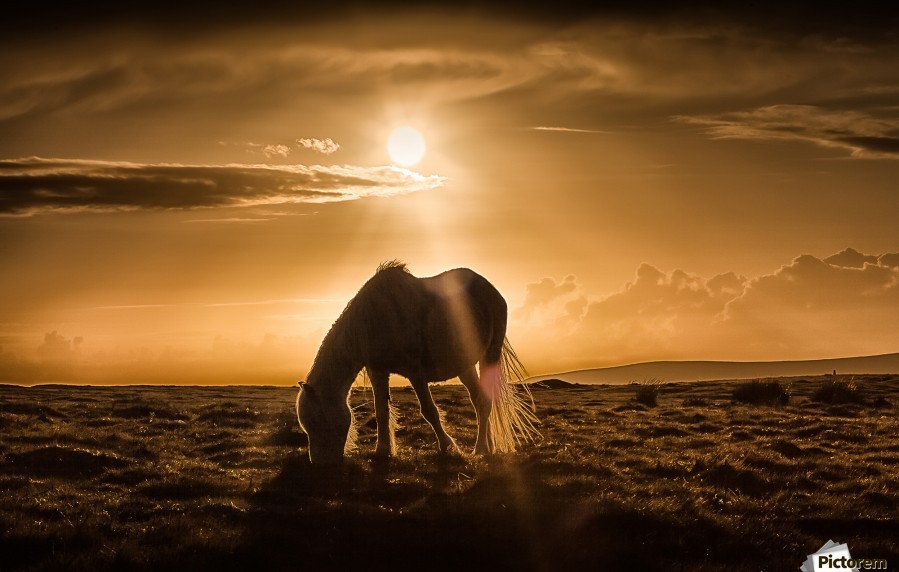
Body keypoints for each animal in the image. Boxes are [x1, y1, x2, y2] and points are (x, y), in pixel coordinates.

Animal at [296, 261, 539, 465]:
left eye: (317, 421)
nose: (320, 464)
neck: (372, 320)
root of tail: (490, 290)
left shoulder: (415, 371)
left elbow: (429, 411)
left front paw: (449, 447)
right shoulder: (378, 371)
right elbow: (381, 411)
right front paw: (382, 451)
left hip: (490, 354)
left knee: (485, 400)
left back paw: (479, 449)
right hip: (465, 366)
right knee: (478, 400)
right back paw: (488, 446)